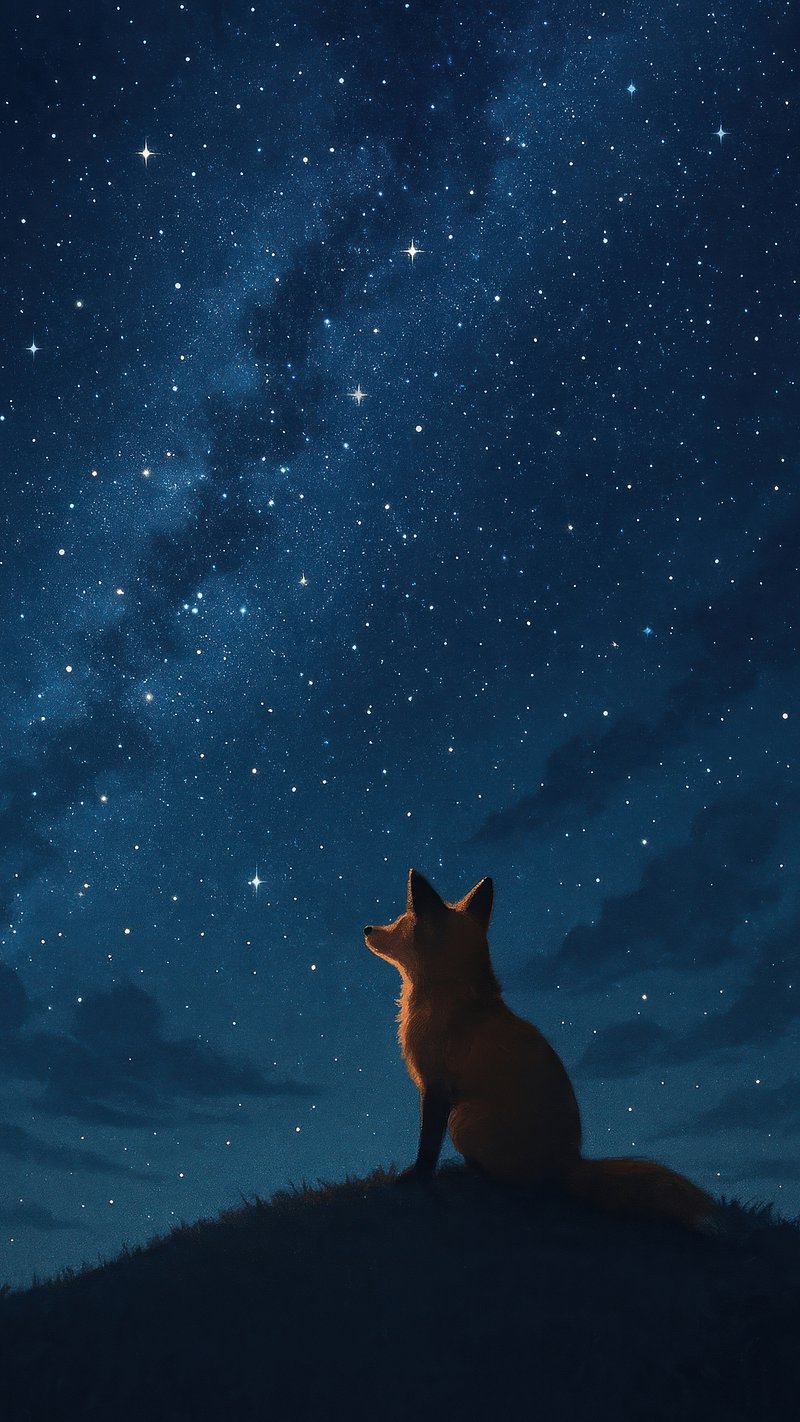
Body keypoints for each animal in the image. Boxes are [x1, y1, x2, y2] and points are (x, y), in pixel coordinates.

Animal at [364, 868, 715, 1229]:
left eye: (398, 923)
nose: (366, 930)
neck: (457, 1003)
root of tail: (571, 1162)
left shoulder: (436, 1089)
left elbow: (427, 1146)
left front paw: (415, 1178)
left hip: (463, 1117)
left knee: (517, 1183)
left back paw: (473, 1173)